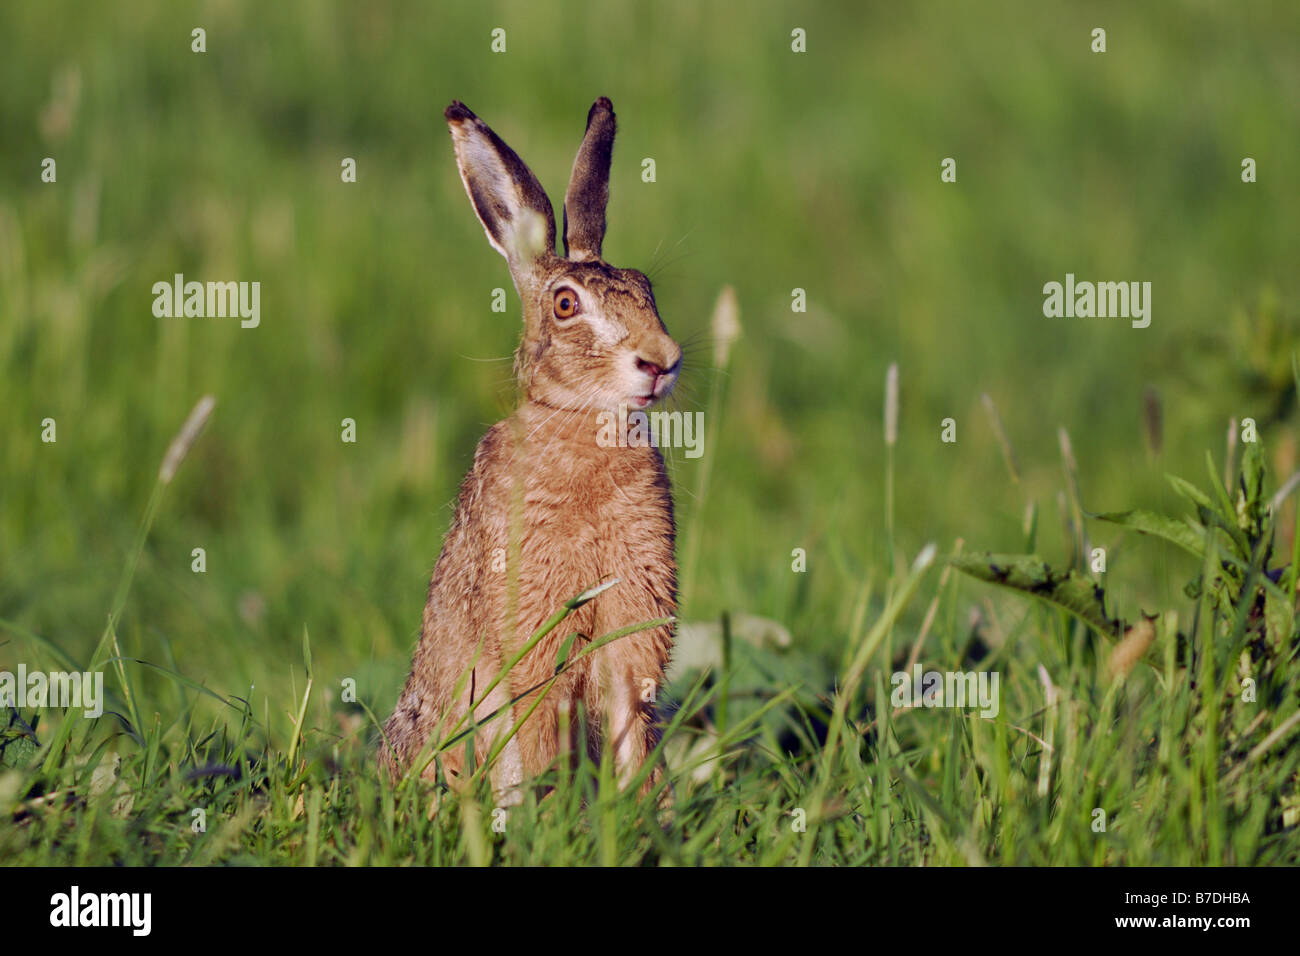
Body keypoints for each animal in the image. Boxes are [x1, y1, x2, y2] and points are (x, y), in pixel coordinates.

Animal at [379, 97, 682, 802]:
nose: (661, 360)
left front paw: (641, 807)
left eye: (646, 288)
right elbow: (540, 723)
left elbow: (630, 714)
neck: (584, 423)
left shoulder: (635, 620)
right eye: (566, 304)